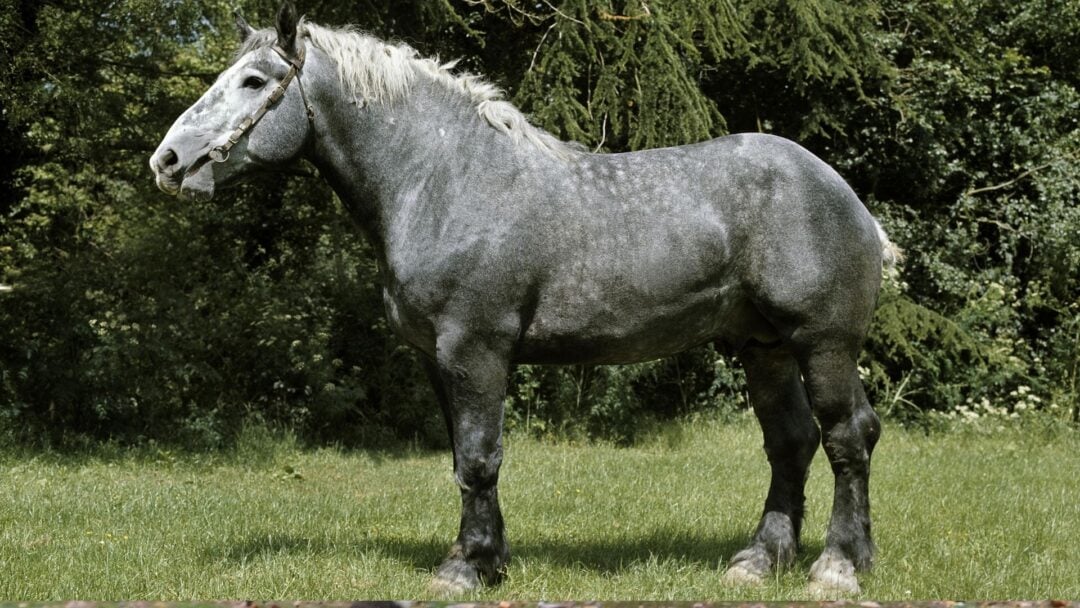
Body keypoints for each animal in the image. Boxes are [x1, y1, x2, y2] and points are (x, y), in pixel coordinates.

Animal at [150, 1, 898, 596]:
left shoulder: (475, 348)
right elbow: (463, 459)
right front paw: (485, 559)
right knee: (791, 441)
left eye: (253, 82)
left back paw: (838, 567)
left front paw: (466, 570)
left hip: (822, 344)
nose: (168, 161)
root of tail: (847, 197)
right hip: (762, 346)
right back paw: (761, 561)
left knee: (847, 437)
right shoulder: (437, 358)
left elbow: (482, 458)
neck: (444, 179)